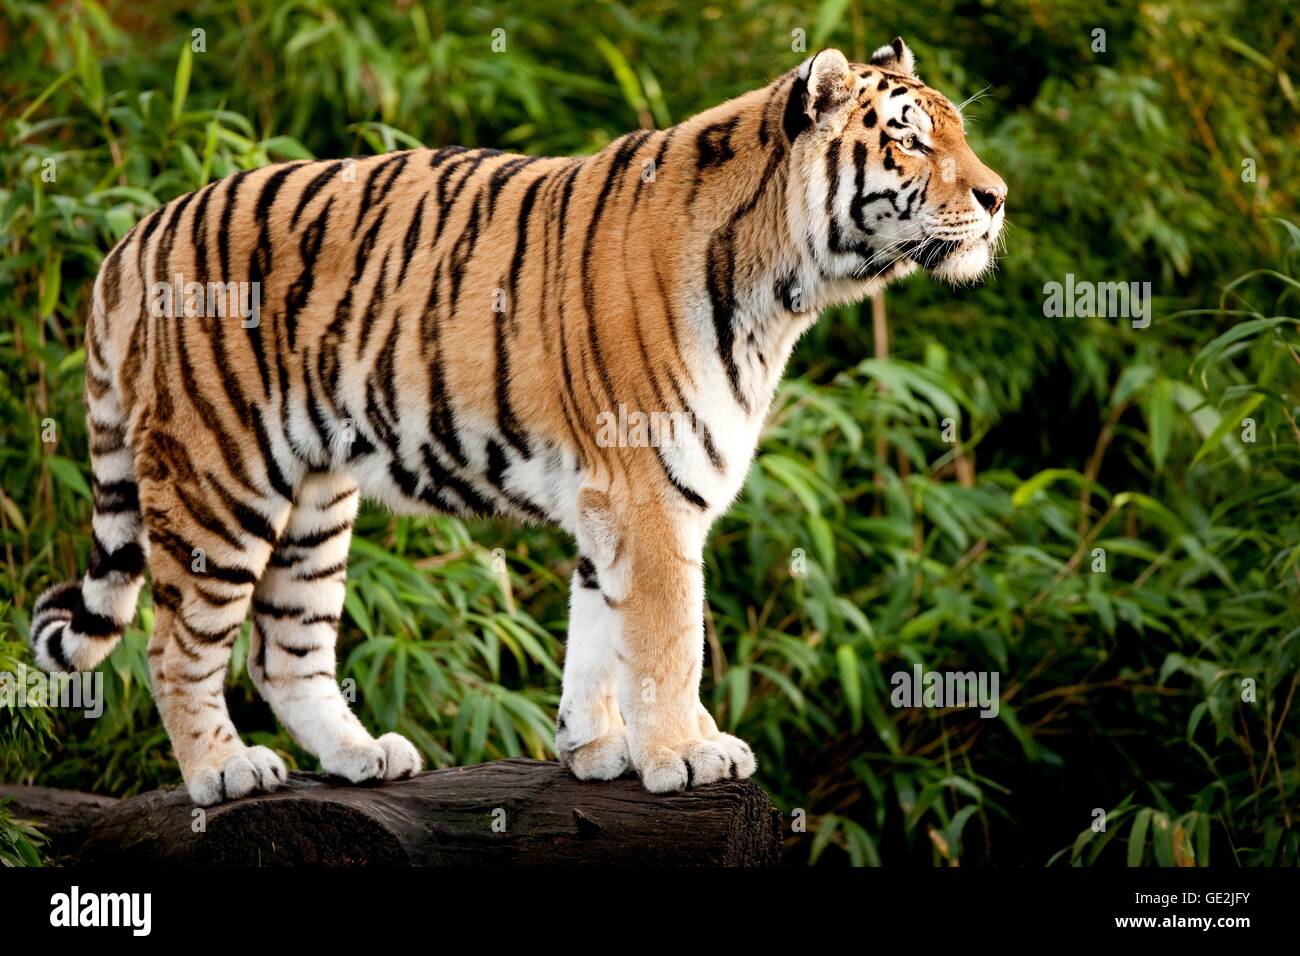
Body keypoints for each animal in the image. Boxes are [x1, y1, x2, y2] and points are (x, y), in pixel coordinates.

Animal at [29, 38, 1006, 805]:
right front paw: (688, 753)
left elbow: (599, 631)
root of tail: (134, 237)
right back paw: (223, 773)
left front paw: (594, 746)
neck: (787, 289)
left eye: (956, 130)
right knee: (175, 644)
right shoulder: (650, 492)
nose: (999, 198)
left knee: (285, 649)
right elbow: (671, 637)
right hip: (219, 475)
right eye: (910, 139)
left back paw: (361, 756)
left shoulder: (615, 499)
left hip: (315, 497)